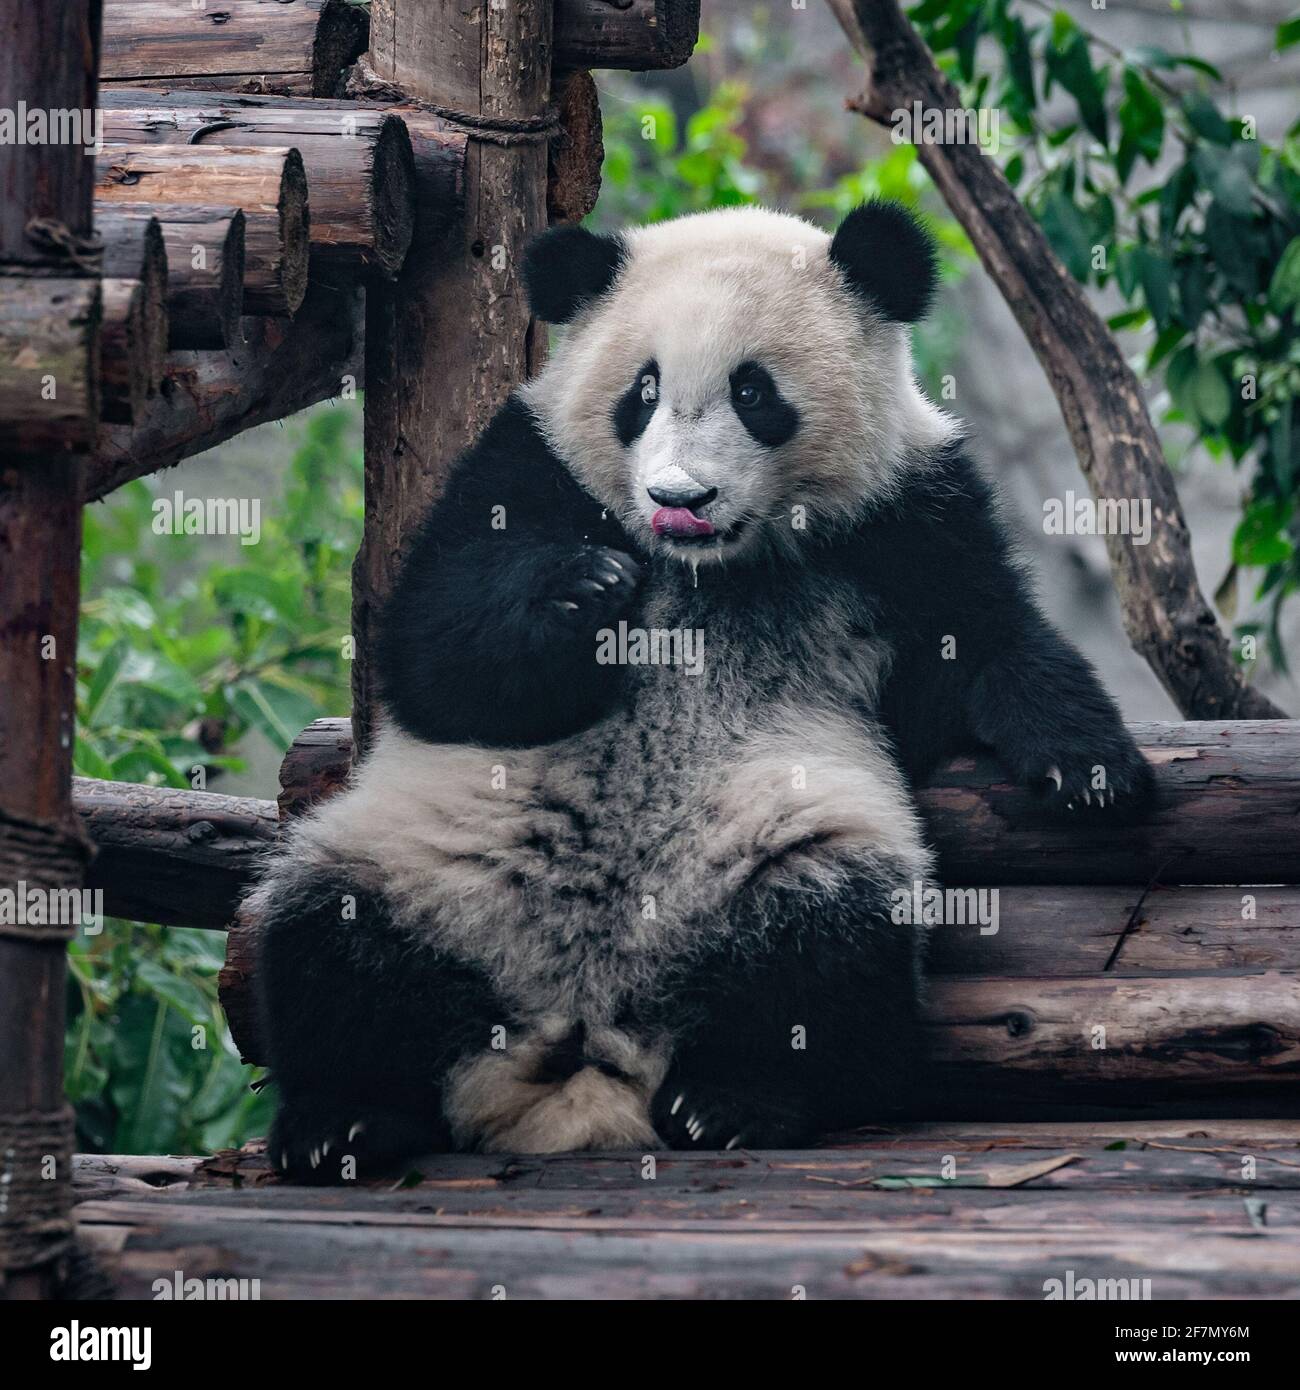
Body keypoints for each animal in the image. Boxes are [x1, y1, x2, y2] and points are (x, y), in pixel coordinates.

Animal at [247, 201, 1154, 1179]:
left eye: (754, 394)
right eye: (641, 392)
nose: (678, 497)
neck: (706, 571)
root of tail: (581, 1045)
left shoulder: (905, 515)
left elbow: (986, 639)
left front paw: (1089, 773)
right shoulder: (525, 463)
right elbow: (436, 655)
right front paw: (587, 590)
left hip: (772, 855)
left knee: (826, 948)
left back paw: (734, 1099)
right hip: (423, 865)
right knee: (328, 941)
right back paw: (343, 1120)